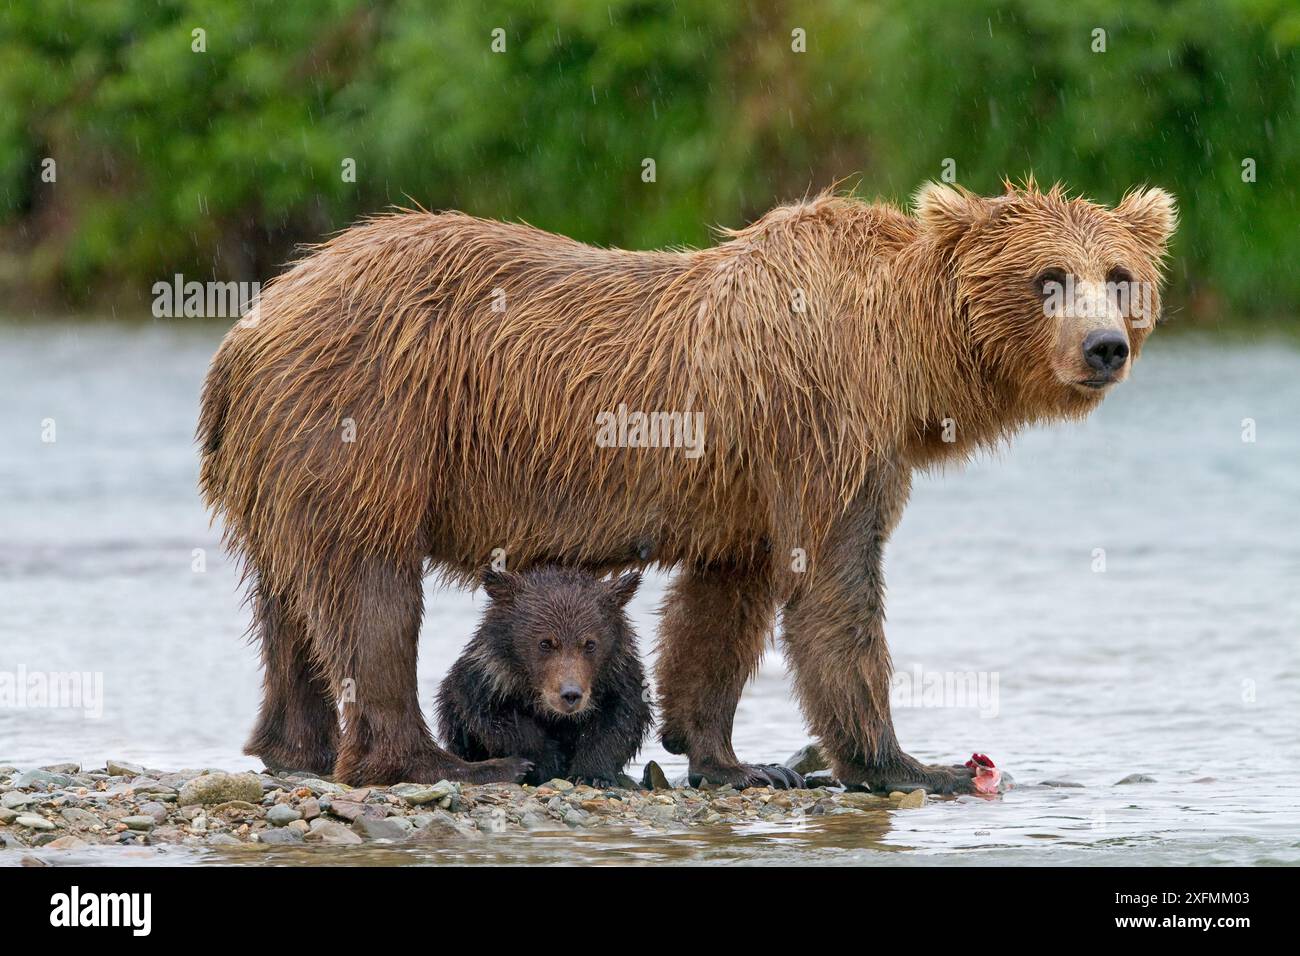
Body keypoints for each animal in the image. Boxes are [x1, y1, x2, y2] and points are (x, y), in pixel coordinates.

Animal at [436, 566, 653, 787]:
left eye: (590, 644)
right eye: (545, 643)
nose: (570, 694)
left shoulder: (618, 680)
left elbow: (618, 722)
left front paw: (591, 774)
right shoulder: (489, 680)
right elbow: (500, 720)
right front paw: (547, 763)